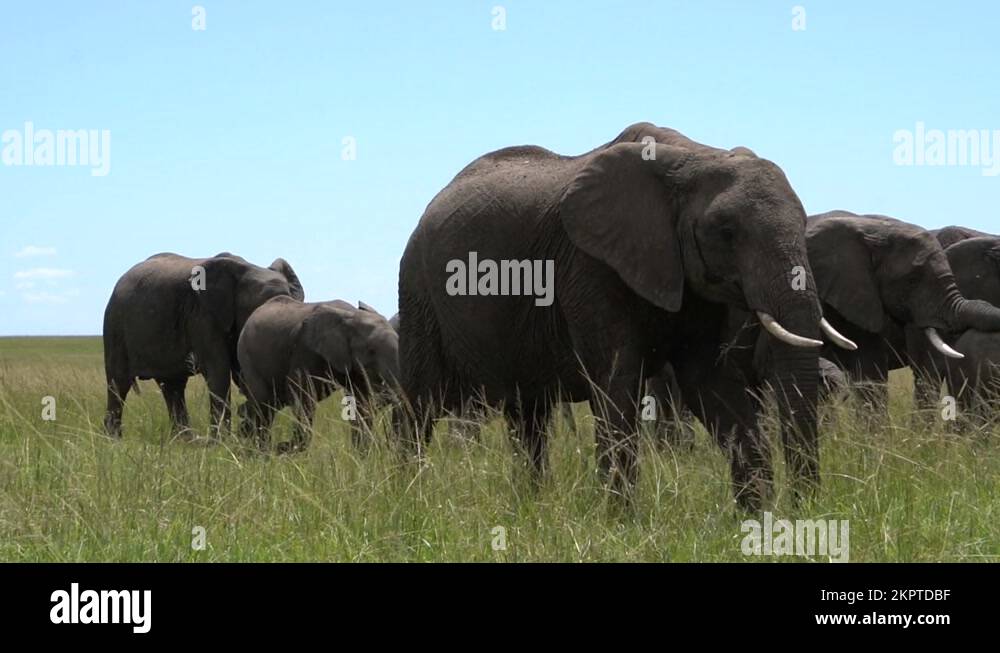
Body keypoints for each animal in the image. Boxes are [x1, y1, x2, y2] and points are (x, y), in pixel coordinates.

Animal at [102, 252, 304, 438]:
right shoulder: (202, 316)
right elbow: (219, 373)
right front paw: (222, 443)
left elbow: (243, 377)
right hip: (115, 325)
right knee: (118, 383)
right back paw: (114, 439)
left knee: (173, 386)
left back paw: (184, 440)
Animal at [237, 298, 399, 453]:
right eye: (371, 350)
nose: (281, 444)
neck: (351, 315)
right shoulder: (305, 349)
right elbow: (301, 395)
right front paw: (282, 448)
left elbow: (360, 402)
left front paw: (362, 454)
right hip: (247, 356)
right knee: (263, 406)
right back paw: (261, 452)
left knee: (268, 405)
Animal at [397, 122, 857, 510]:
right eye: (726, 232)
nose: (804, 508)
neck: (693, 157)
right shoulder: (590, 265)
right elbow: (616, 383)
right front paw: (621, 523)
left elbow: (711, 383)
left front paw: (757, 520)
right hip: (417, 288)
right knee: (420, 404)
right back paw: (408, 501)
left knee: (528, 419)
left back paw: (532, 507)